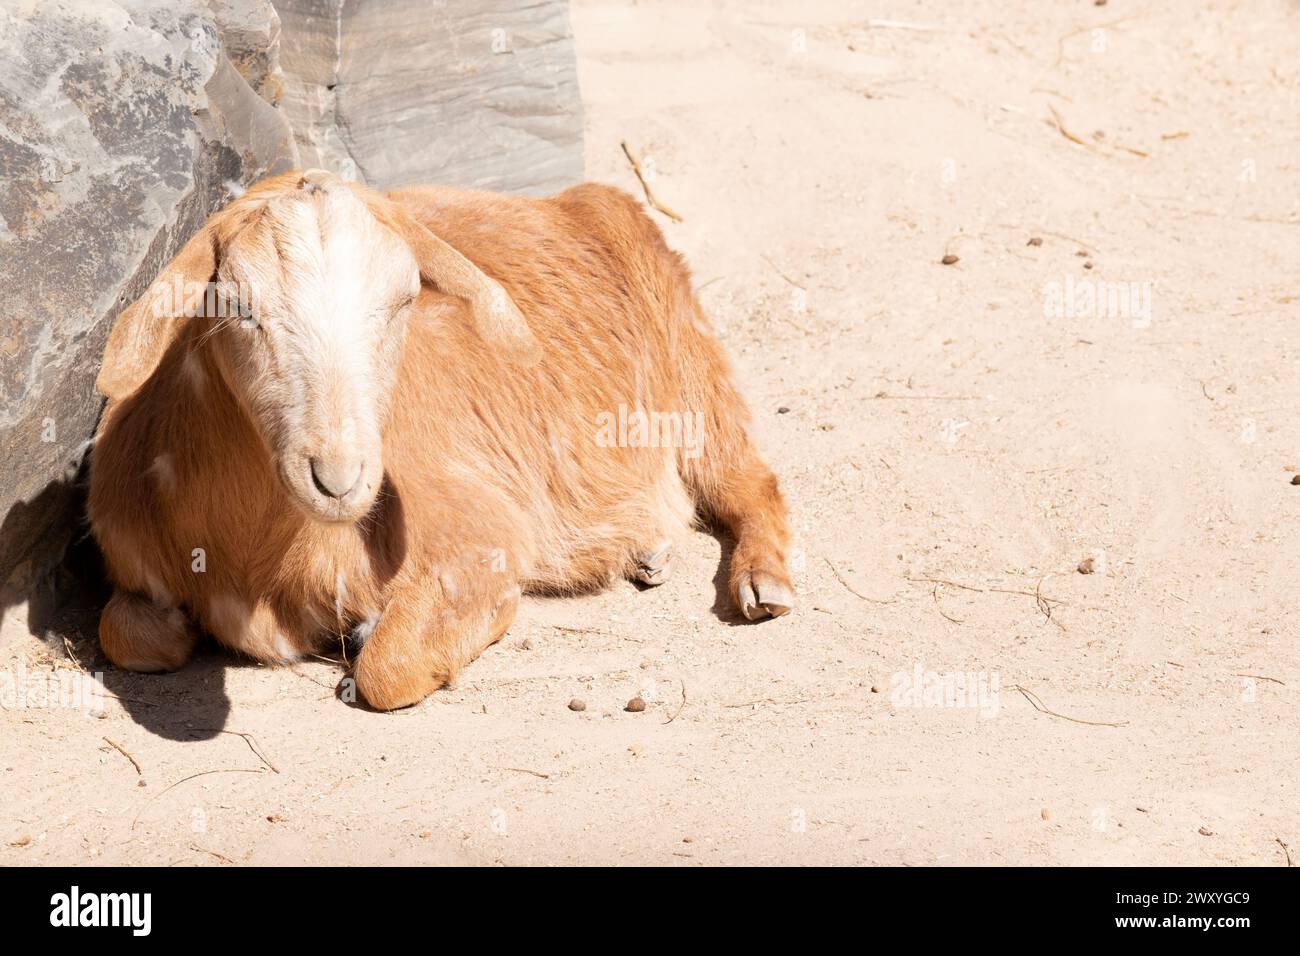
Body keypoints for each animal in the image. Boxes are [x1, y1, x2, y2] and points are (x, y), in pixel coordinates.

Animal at [88, 169, 795, 710]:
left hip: (693, 372)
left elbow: (386, 669)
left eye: (404, 301)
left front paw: (372, 643)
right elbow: (124, 636)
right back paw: (647, 552)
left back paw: (764, 584)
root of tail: (576, 199)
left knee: (749, 480)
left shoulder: (483, 534)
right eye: (236, 306)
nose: (340, 478)